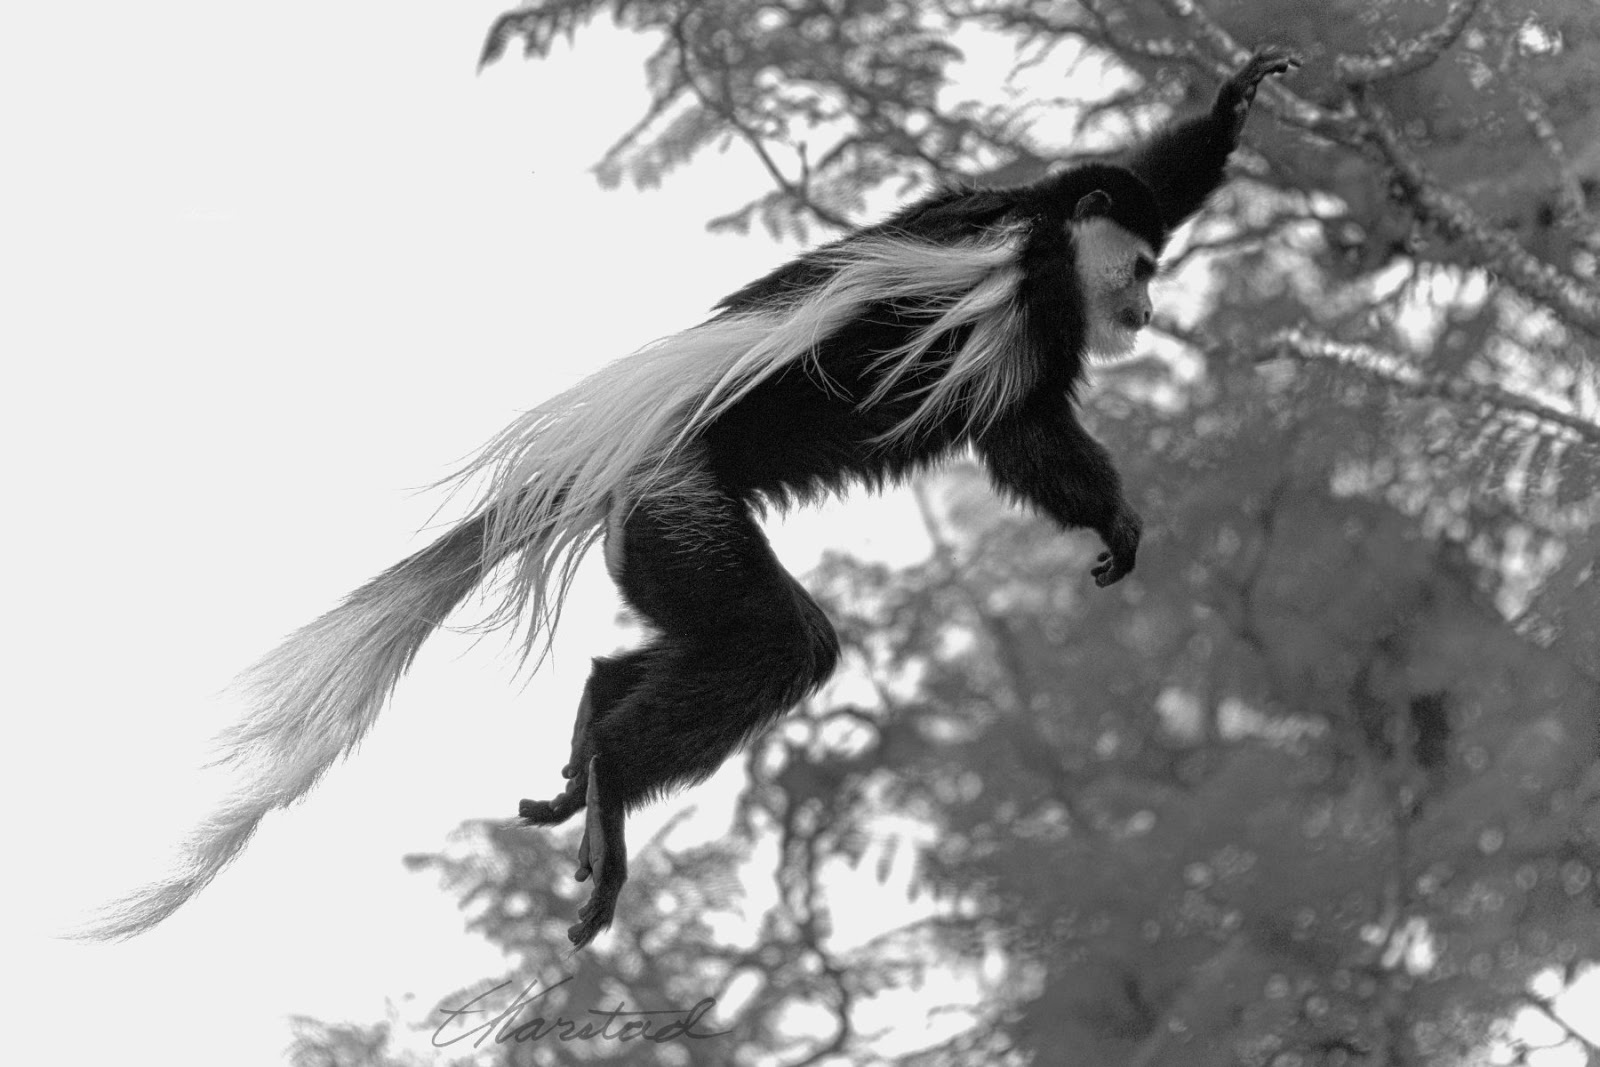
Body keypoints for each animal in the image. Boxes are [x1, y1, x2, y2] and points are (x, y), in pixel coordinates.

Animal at [79, 47, 1297, 949]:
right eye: (1139, 269)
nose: (1146, 308)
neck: (1040, 231)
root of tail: (611, 467)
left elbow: (1046, 403)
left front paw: (1235, 99)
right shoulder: (1014, 289)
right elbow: (1023, 438)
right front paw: (1113, 518)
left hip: (660, 536)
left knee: (694, 646)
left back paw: (587, 748)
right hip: (683, 509)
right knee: (776, 642)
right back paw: (613, 783)